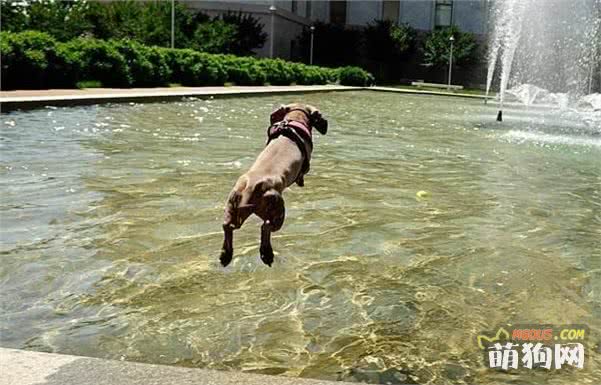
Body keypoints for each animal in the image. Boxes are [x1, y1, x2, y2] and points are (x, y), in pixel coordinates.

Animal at [218, 103, 326, 268]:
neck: (295, 119)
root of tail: (251, 187)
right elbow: (302, 174)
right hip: (277, 212)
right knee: (266, 227)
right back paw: (266, 253)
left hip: (232, 206)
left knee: (227, 227)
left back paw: (226, 254)